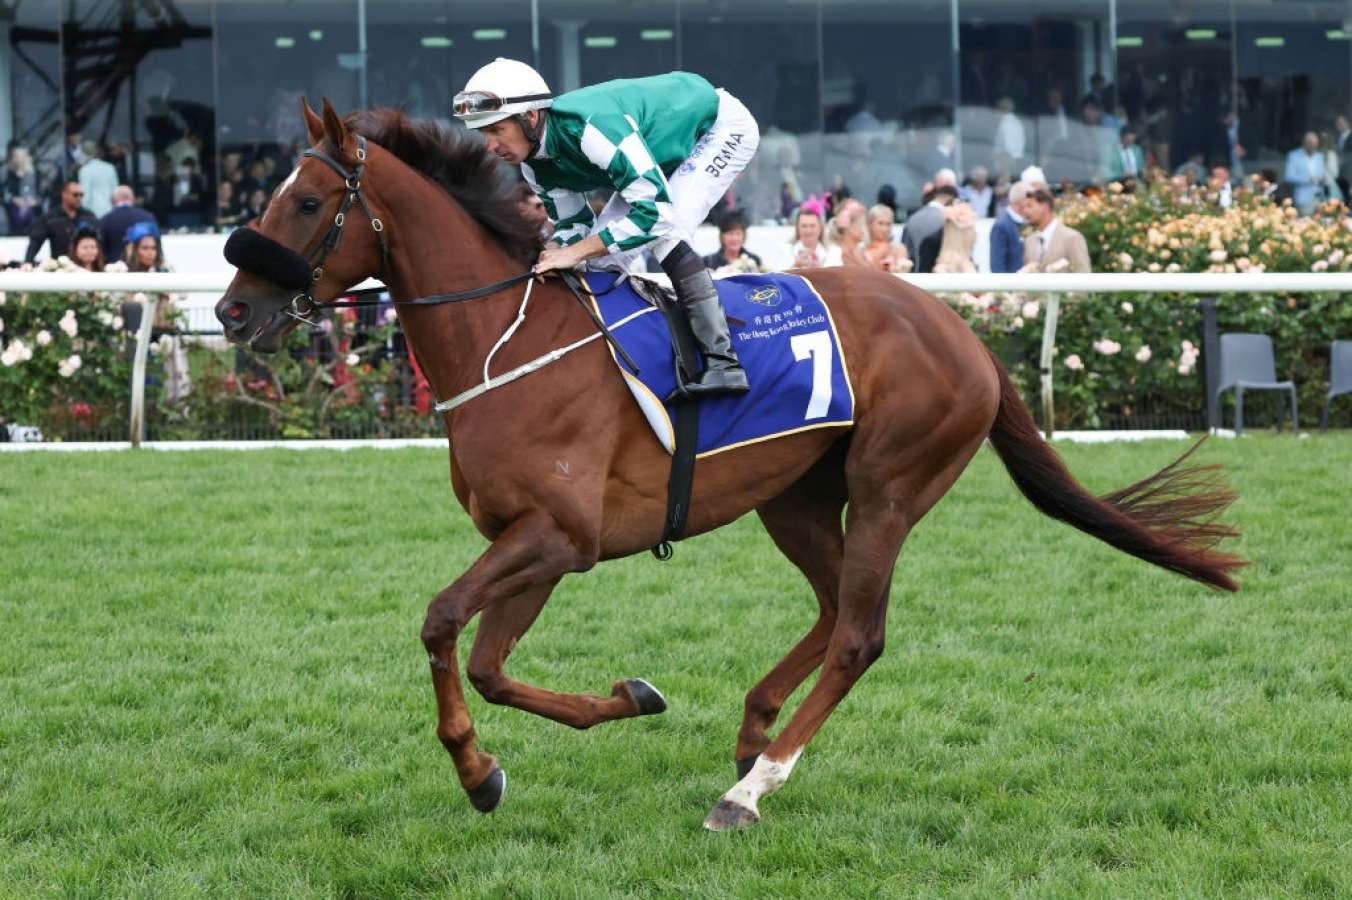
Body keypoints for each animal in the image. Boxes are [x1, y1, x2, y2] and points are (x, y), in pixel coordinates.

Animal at [215, 99, 1245, 830]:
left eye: (305, 202)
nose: (231, 311)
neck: (505, 340)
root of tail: (963, 331)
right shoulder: (536, 541)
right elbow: (490, 664)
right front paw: (614, 706)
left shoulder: (559, 536)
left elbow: (442, 626)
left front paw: (476, 769)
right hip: (793, 497)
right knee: (832, 611)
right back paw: (754, 733)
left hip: (890, 486)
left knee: (860, 634)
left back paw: (752, 789)